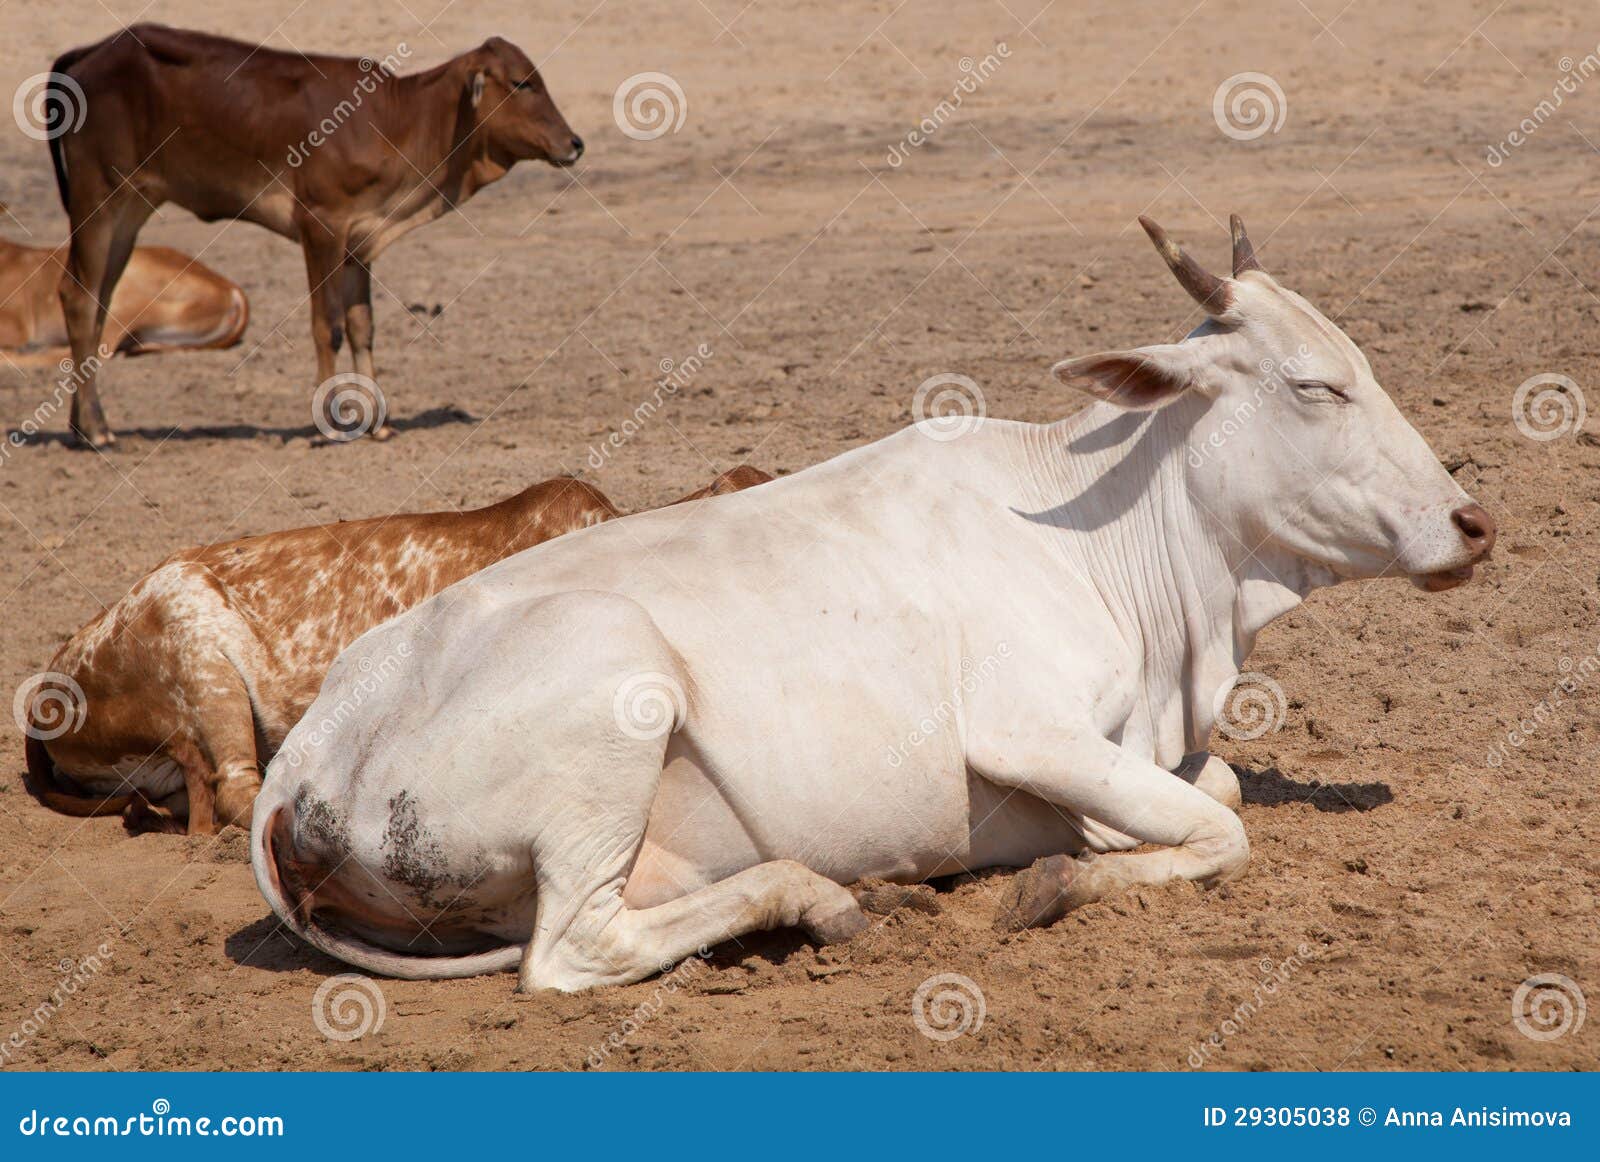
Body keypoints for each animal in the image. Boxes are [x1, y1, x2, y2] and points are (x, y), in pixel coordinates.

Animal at [45, 24, 583, 447]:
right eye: (521, 83)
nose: (575, 143)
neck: (397, 121)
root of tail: (94, 50)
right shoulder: (320, 225)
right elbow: (329, 326)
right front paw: (329, 424)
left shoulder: (360, 242)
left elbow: (363, 327)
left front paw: (379, 423)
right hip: (101, 200)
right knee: (77, 298)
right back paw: (97, 430)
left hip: (130, 212)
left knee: (98, 304)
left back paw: (82, 425)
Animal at [250, 217, 1496, 991]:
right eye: (1314, 385)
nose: (1471, 523)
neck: (1110, 544)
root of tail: (306, 751)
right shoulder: (1024, 731)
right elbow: (1221, 829)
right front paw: (1055, 880)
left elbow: (1220, 786)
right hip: (609, 700)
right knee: (570, 954)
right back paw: (818, 897)